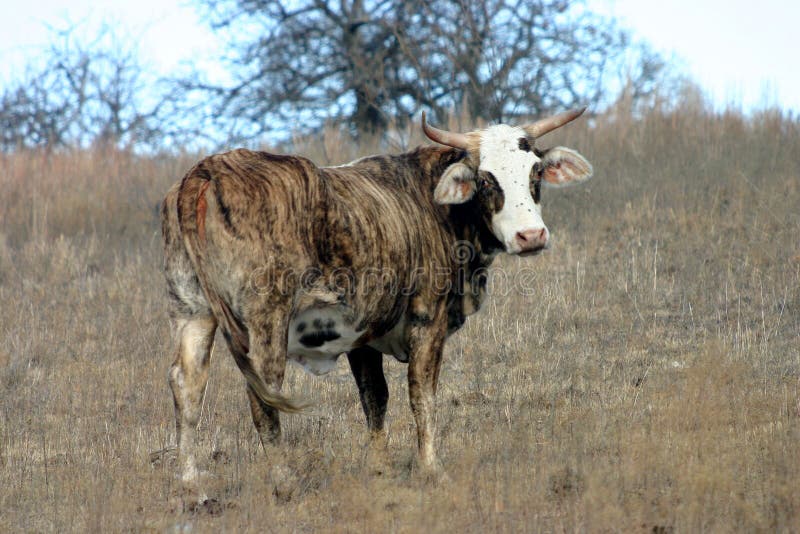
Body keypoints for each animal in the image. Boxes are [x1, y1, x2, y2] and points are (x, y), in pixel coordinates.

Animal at [161, 108, 593, 485]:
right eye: (486, 180)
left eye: (535, 171)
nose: (530, 236)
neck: (432, 204)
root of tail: (207, 171)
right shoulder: (427, 321)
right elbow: (422, 395)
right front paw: (431, 467)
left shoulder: (360, 337)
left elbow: (375, 399)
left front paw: (380, 468)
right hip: (266, 321)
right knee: (263, 394)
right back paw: (284, 481)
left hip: (192, 312)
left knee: (187, 386)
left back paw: (190, 482)